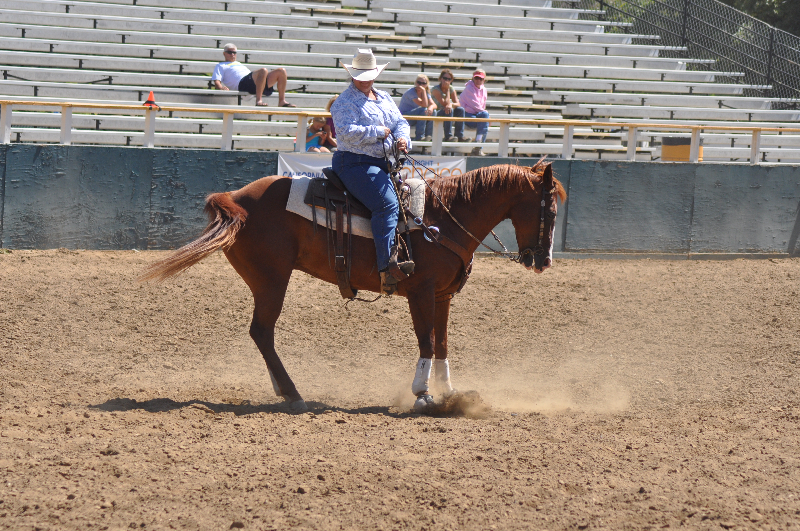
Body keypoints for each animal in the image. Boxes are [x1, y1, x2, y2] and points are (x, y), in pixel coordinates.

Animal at [141, 161, 567, 412]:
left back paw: (285, 390)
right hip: (271, 279)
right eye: (548, 209)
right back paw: (293, 394)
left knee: (262, 334)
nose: (543, 261)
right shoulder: (421, 292)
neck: (442, 219)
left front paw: (450, 393)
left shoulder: (443, 295)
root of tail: (235, 199)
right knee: (262, 332)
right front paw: (423, 395)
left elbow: (443, 343)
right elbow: (427, 341)